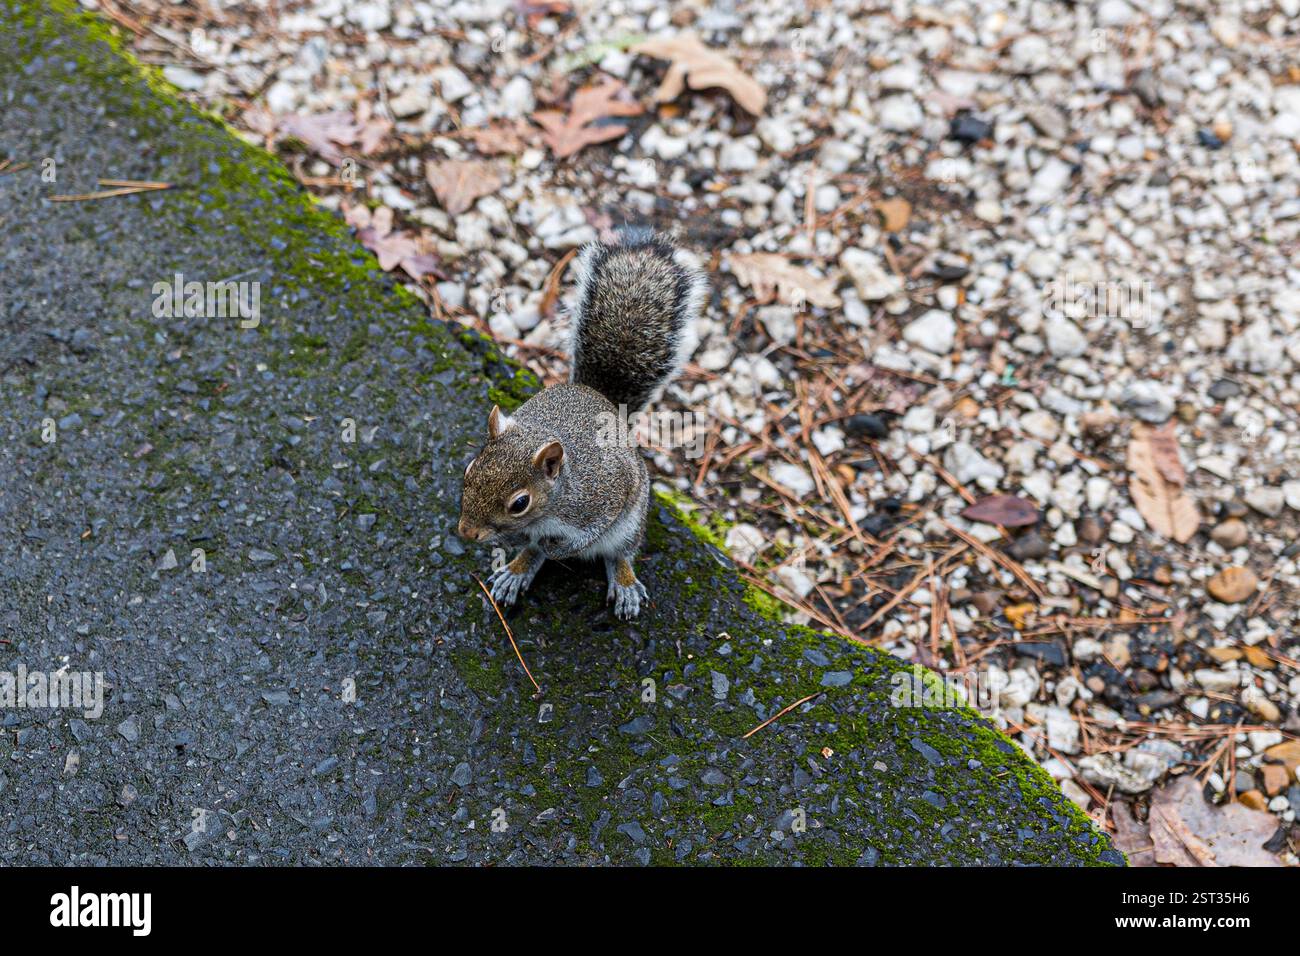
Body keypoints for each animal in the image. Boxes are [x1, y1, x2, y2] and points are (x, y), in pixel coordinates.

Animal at [457, 229, 707, 620]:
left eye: (520, 503)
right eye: (470, 469)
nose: (466, 532)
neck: (550, 507)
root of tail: (602, 401)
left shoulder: (603, 498)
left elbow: (588, 536)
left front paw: (559, 549)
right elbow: (535, 545)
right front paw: (524, 548)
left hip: (632, 521)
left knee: (621, 552)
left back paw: (623, 582)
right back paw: (517, 570)